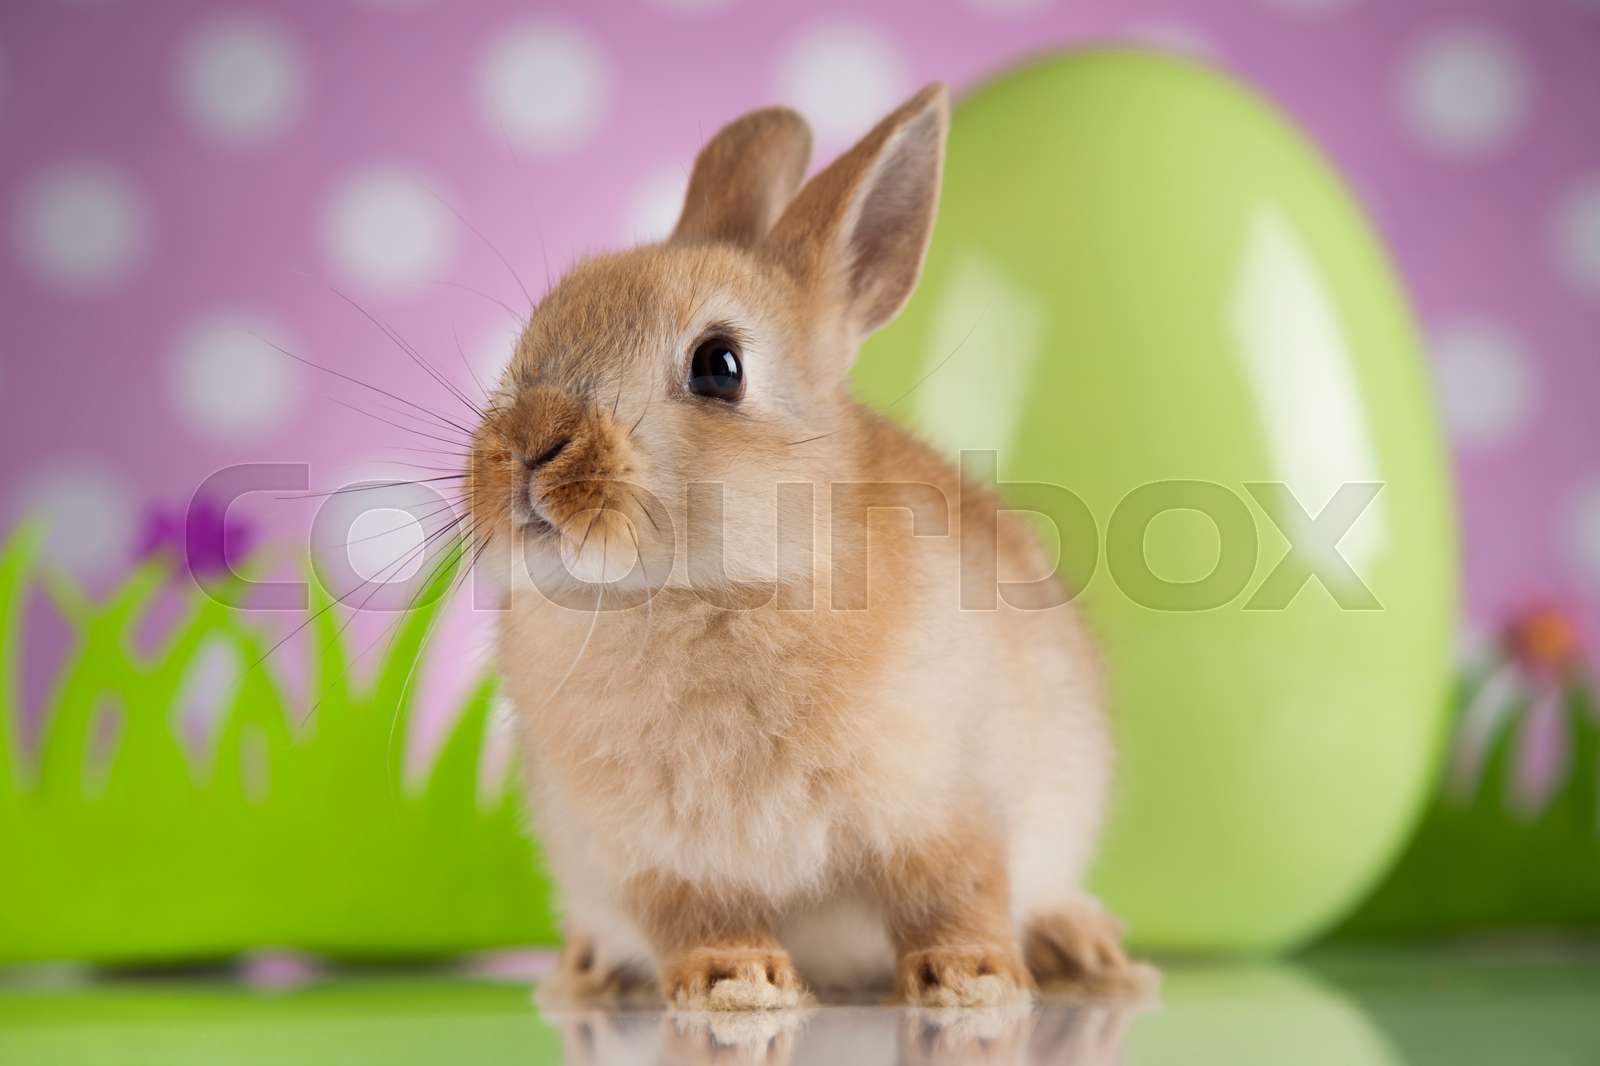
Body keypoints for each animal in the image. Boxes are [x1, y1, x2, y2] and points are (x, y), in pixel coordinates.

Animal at [467, 83, 1152, 1011]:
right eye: (533, 333)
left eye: (720, 365)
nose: (529, 447)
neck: (705, 594)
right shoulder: (655, 858)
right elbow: (698, 916)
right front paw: (735, 982)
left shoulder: (944, 803)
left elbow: (955, 891)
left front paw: (974, 980)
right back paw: (585, 973)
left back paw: (1082, 950)